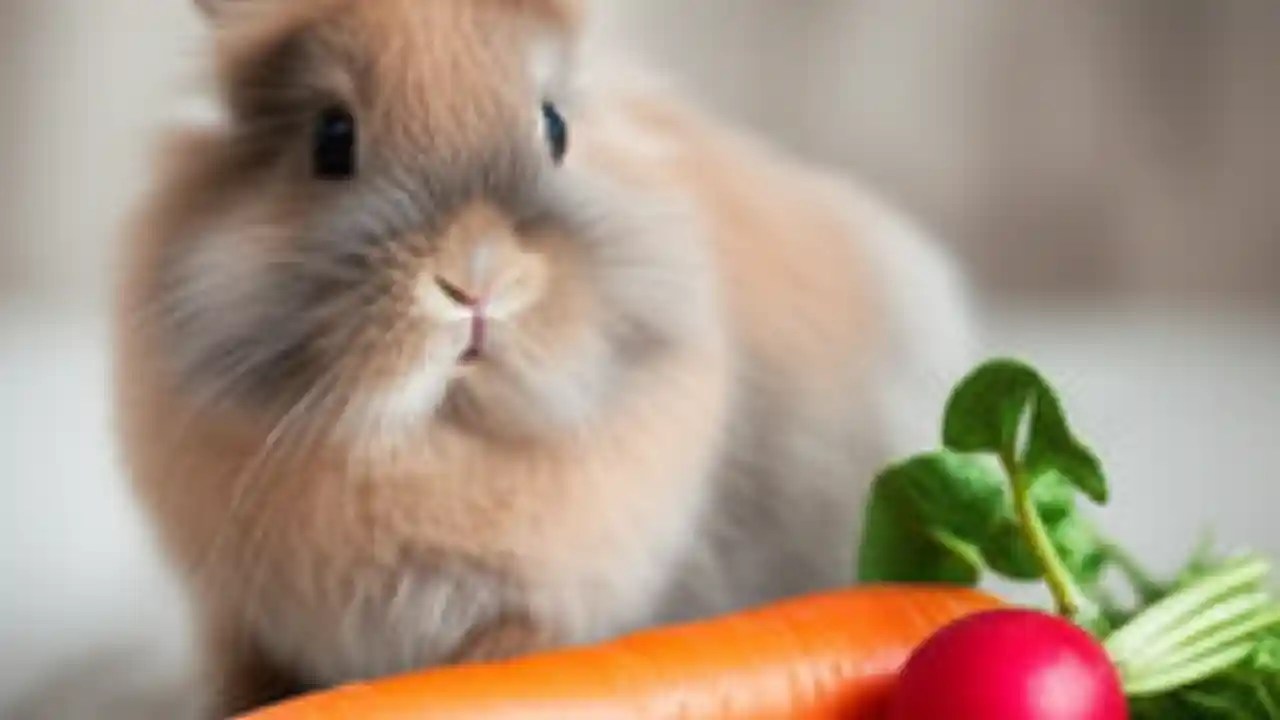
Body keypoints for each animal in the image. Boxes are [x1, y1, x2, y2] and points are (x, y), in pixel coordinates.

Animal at [113, 0, 976, 715]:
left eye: (555, 127)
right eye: (331, 139)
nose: (475, 281)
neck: (438, 441)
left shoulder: (544, 608)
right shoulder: (238, 617)